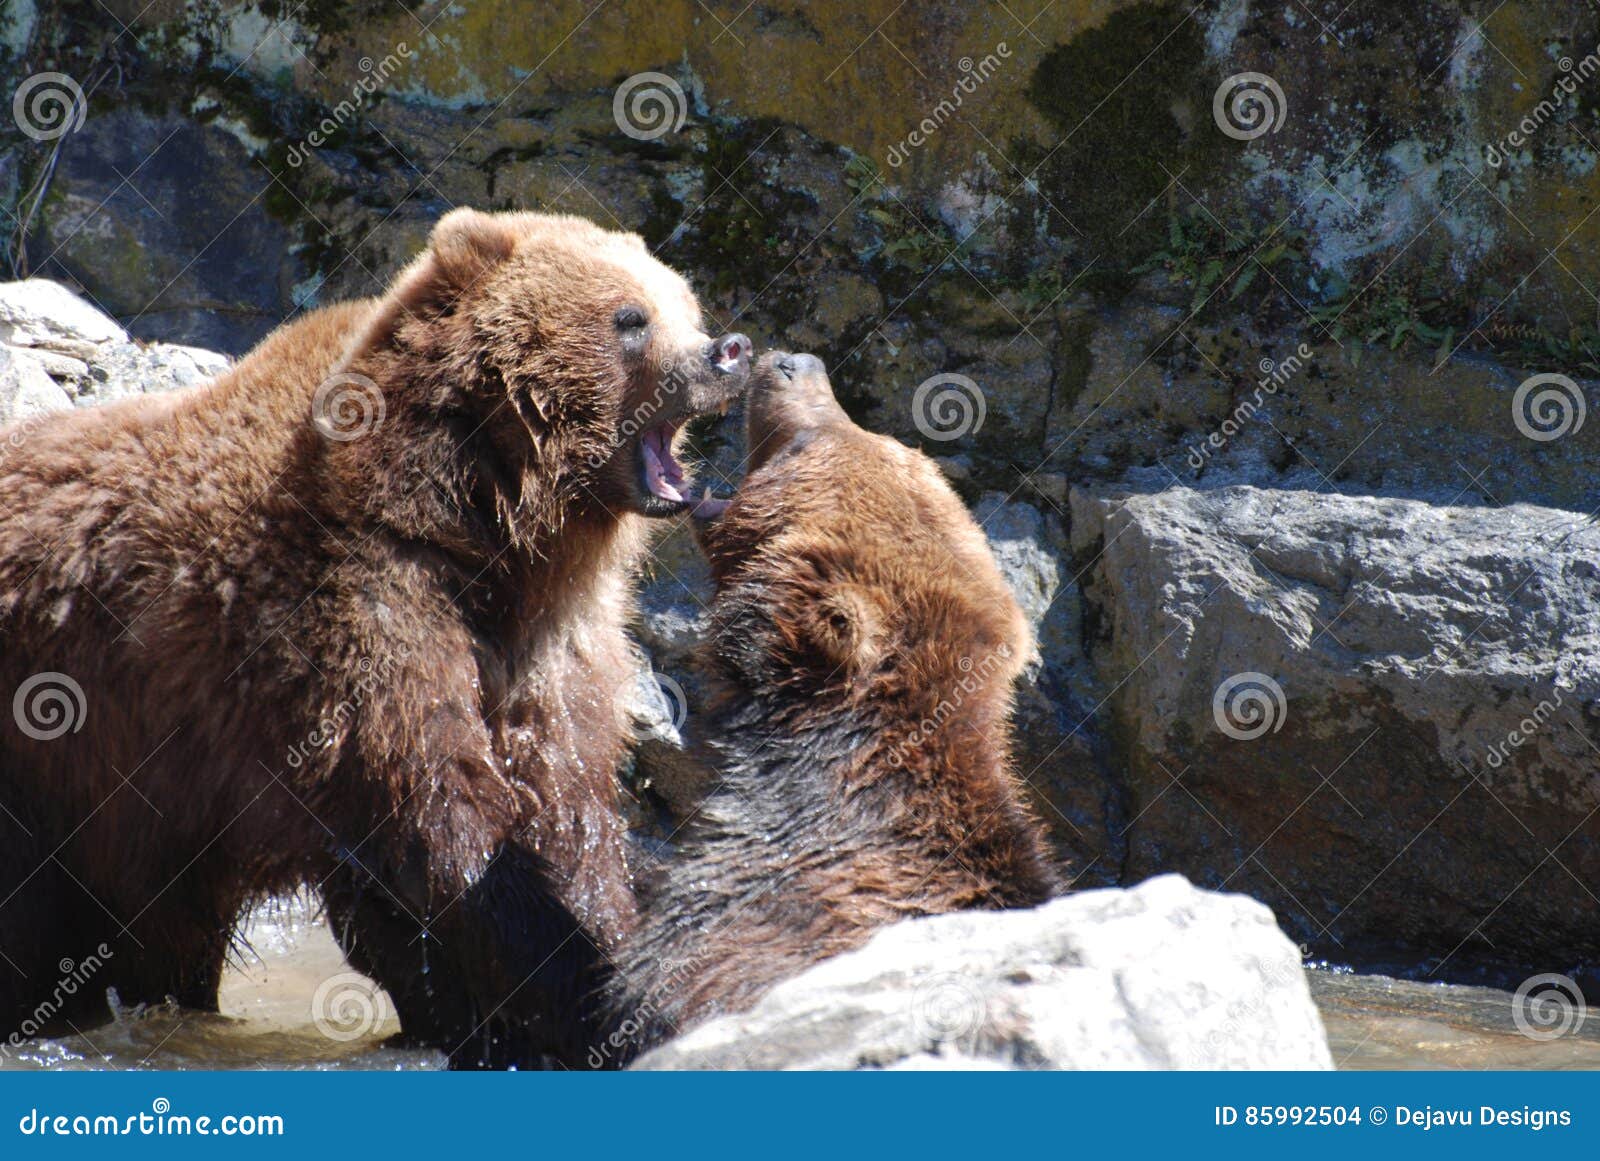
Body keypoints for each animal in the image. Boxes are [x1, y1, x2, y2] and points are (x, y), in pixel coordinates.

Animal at [0, 209, 750, 1068]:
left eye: (683, 302)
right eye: (631, 318)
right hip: (51, 755)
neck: (491, 532)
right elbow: (446, 824)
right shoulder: (360, 612)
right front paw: (592, 1004)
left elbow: (568, 807)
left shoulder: (553, 646)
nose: (728, 350)